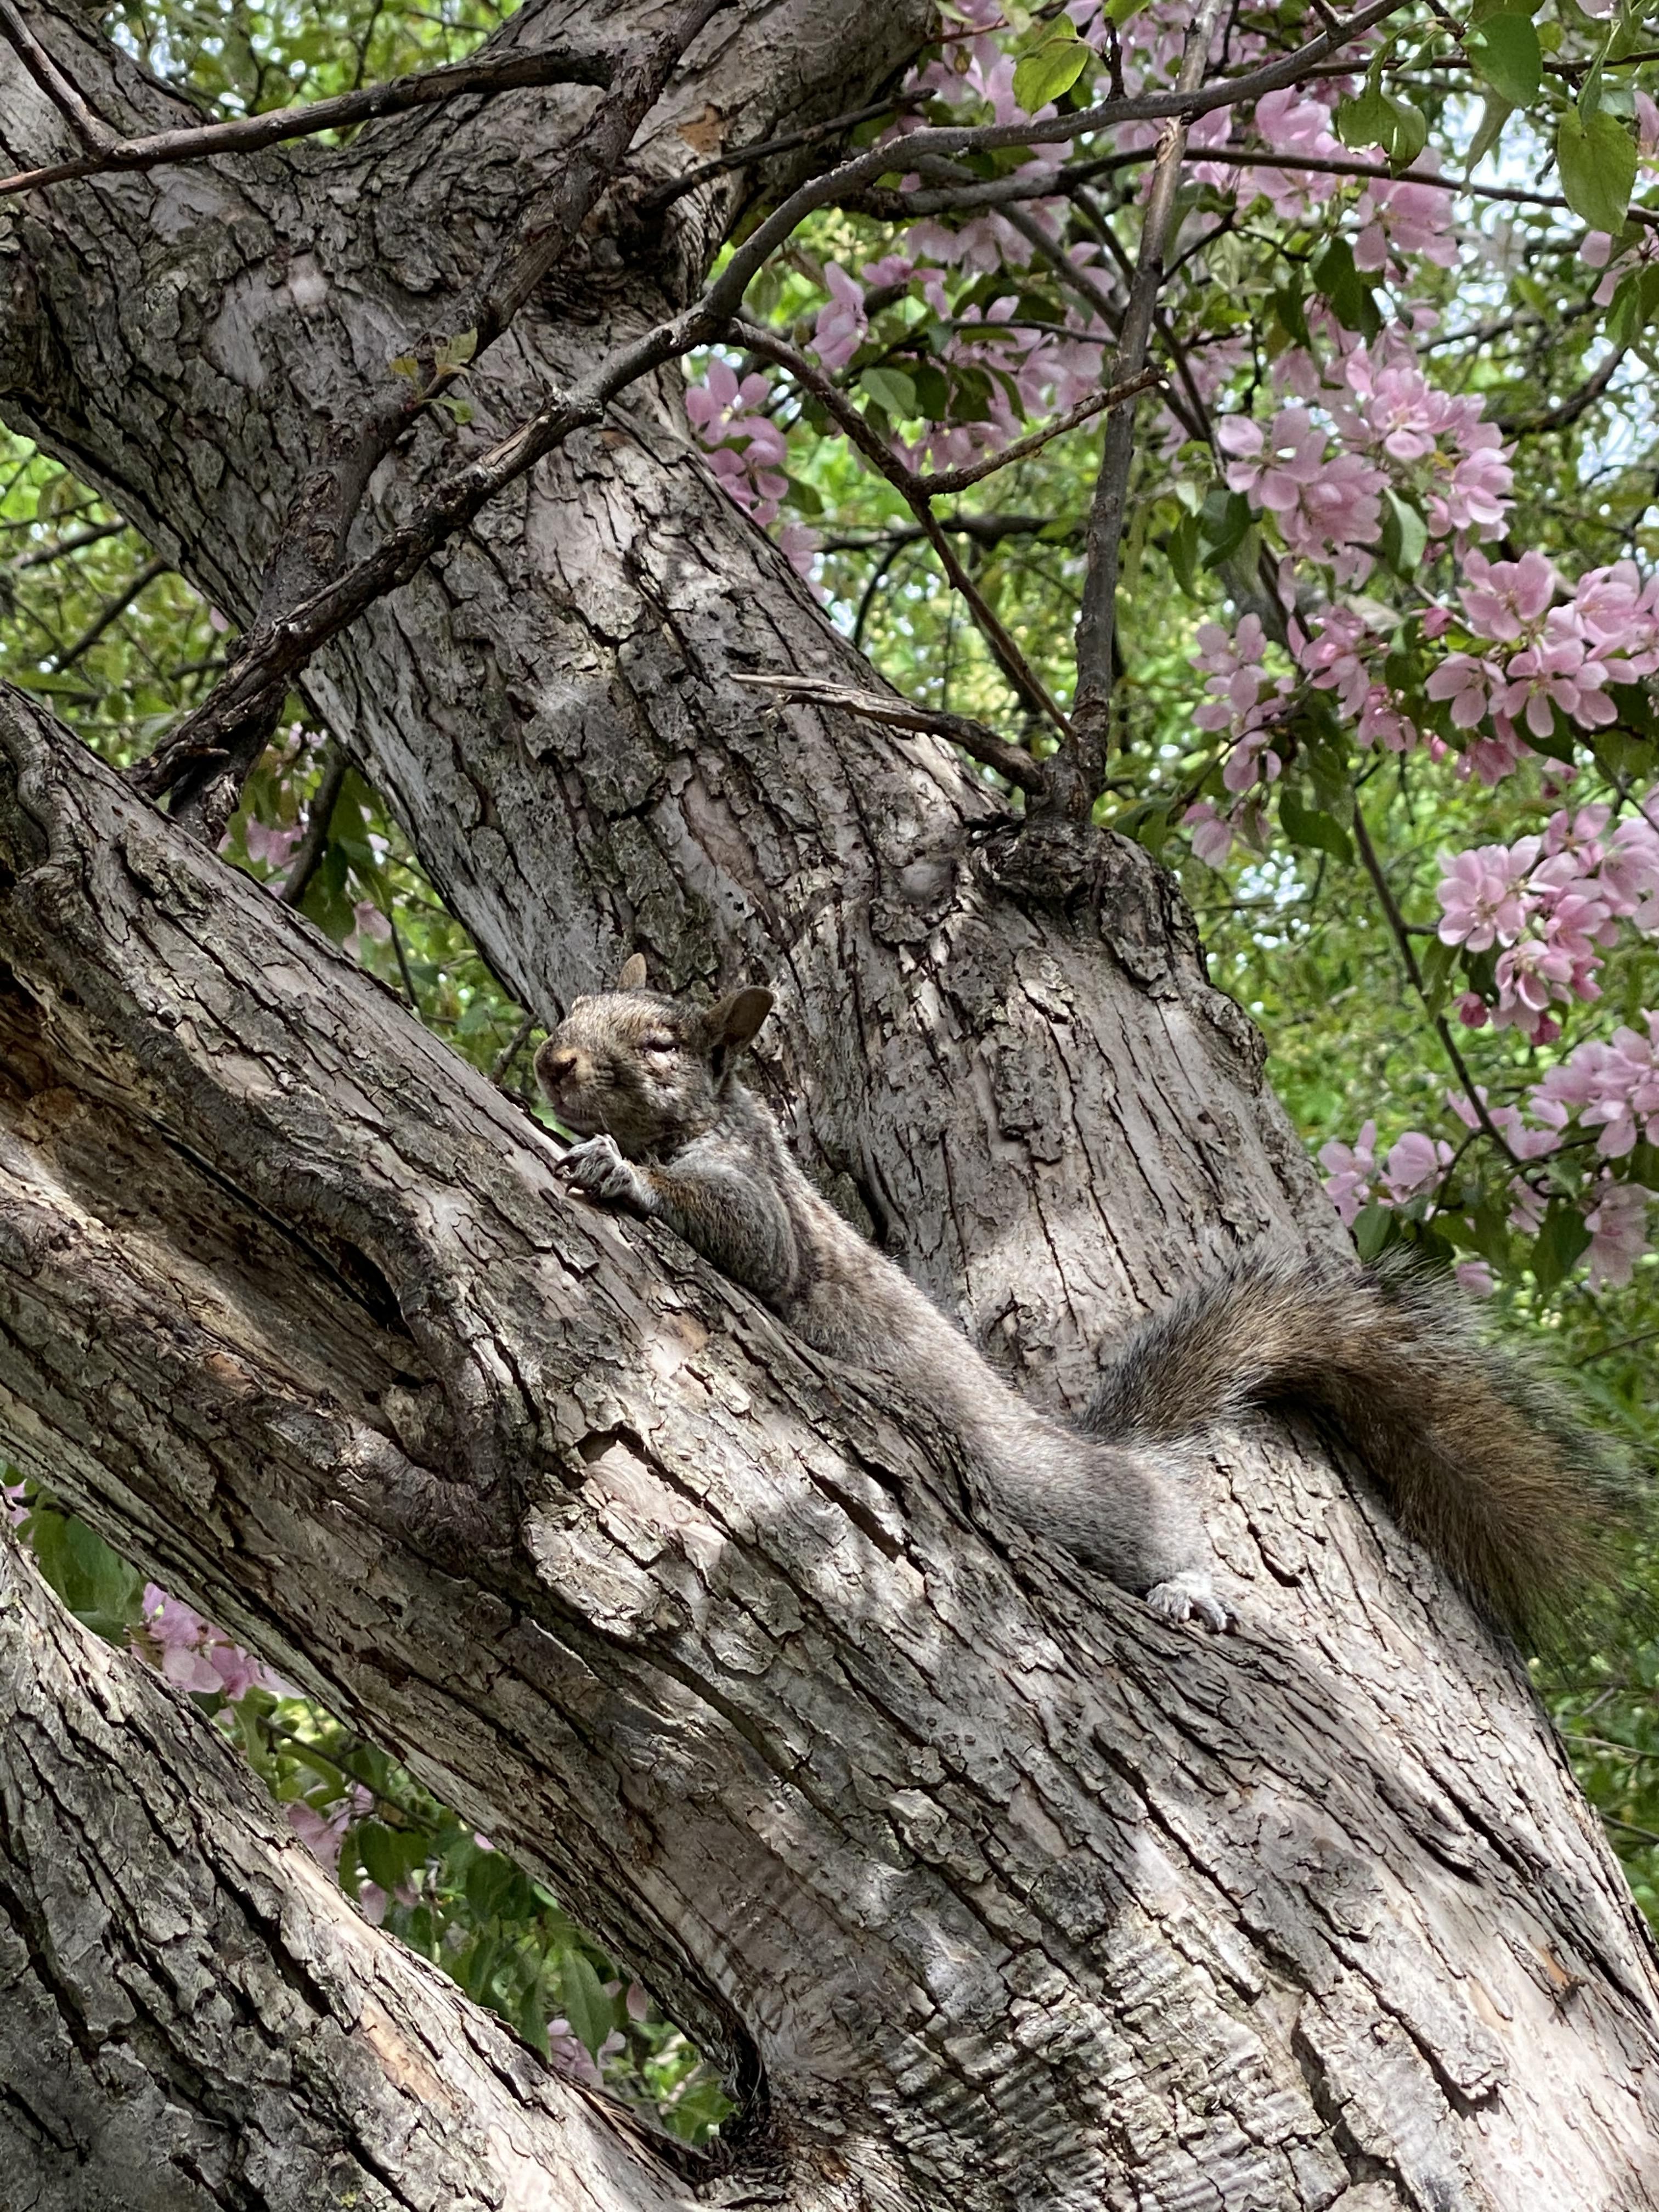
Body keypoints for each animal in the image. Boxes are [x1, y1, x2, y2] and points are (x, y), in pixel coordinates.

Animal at [535, 957, 1625, 1640]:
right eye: (571, 1007)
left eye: (663, 1044)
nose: (552, 1059)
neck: (702, 1121)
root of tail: (1120, 1453)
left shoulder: (767, 1203)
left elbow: (746, 1238)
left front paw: (623, 1174)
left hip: (1069, 1499)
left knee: (1163, 1533)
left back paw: (1191, 1587)